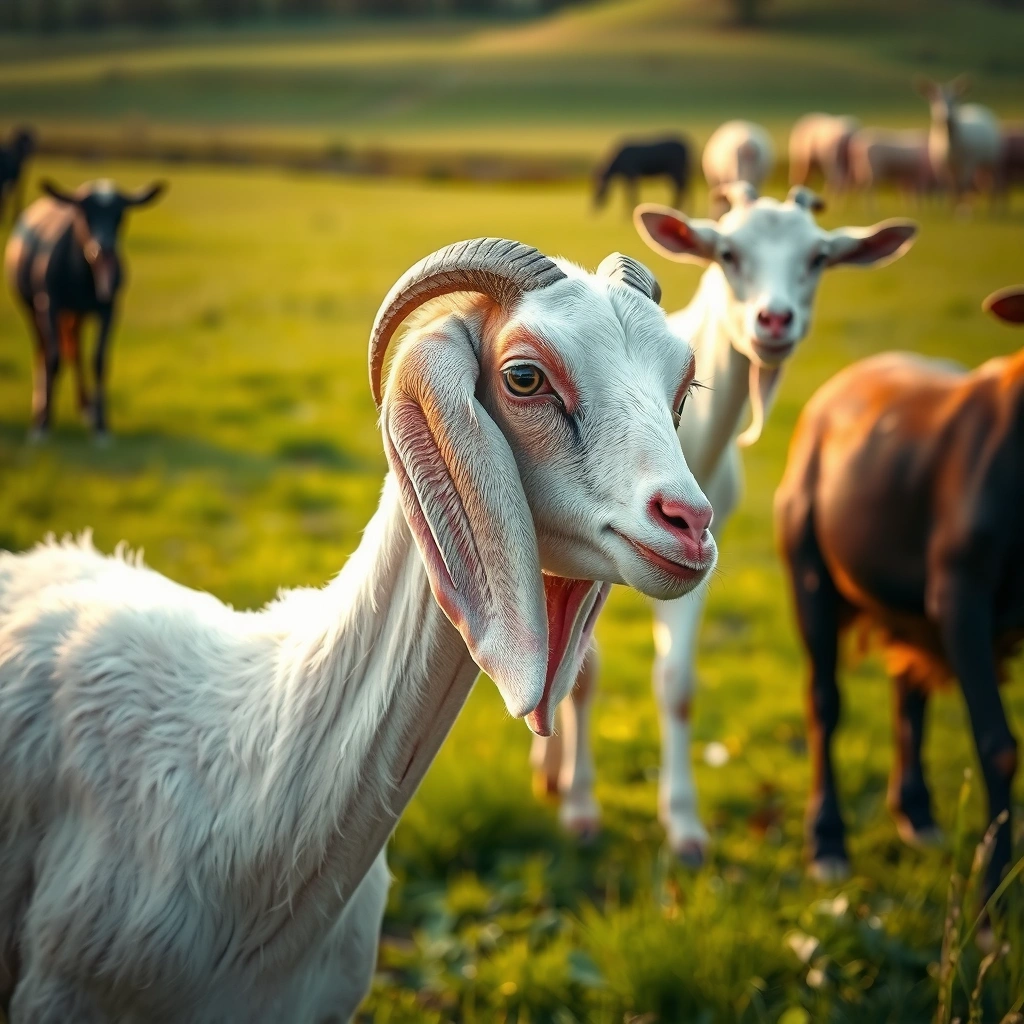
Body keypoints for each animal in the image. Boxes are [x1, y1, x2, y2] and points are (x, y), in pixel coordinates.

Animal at [4, 178, 165, 438]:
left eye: (120, 215)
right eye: (85, 212)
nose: (103, 249)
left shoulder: (109, 309)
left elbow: (99, 359)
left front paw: (101, 425)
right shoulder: (49, 303)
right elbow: (53, 357)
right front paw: (42, 425)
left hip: (74, 314)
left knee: (75, 349)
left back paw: (85, 407)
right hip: (31, 307)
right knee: (42, 348)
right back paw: (39, 406)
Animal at [531, 185, 917, 861]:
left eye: (818, 257)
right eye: (729, 253)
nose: (774, 321)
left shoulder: (697, 557)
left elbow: (677, 684)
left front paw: (684, 827)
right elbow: (583, 674)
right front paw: (581, 810)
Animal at [775, 285, 1024, 901]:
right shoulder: (961, 597)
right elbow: (998, 746)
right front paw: (992, 898)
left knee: (907, 690)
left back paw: (916, 811)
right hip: (810, 575)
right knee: (825, 702)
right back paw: (828, 840)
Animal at [916, 75, 1001, 205]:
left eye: (954, 99)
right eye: (934, 99)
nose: (945, 117)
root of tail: (975, 105)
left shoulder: (967, 164)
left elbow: (962, 187)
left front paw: (960, 207)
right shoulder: (942, 168)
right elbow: (951, 189)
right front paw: (952, 206)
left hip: (990, 159)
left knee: (992, 182)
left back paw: (992, 204)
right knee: (983, 181)